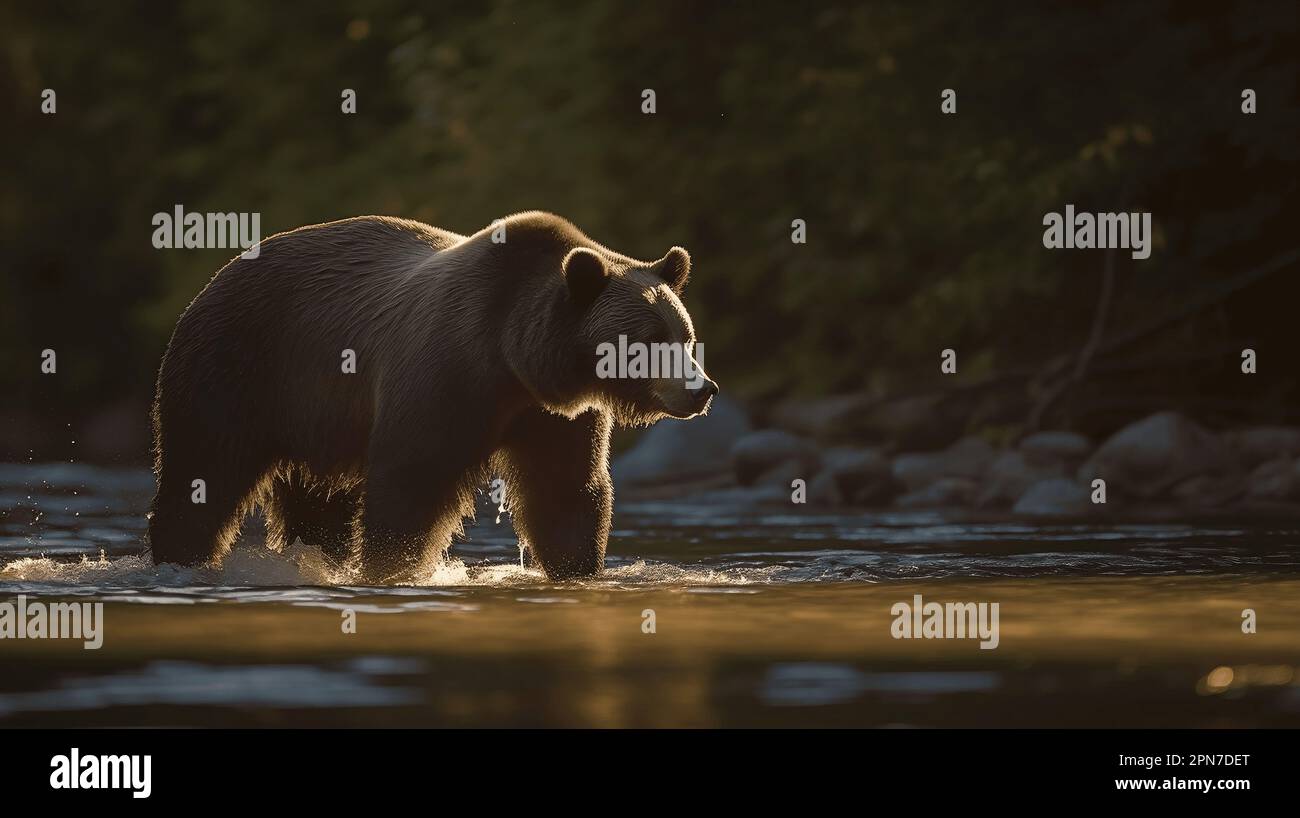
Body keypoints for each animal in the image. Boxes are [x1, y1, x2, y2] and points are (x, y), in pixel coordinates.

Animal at [146, 211, 717, 582]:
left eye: (685, 337)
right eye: (649, 340)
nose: (702, 389)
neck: (513, 358)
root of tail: (217, 276)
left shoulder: (555, 414)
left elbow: (565, 490)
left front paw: (577, 568)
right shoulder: (444, 373)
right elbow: (412, 479)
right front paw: (390, 567)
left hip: (315, 416)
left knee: (316, 499)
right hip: (237, 368)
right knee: (202, 469)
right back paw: (180, 556)